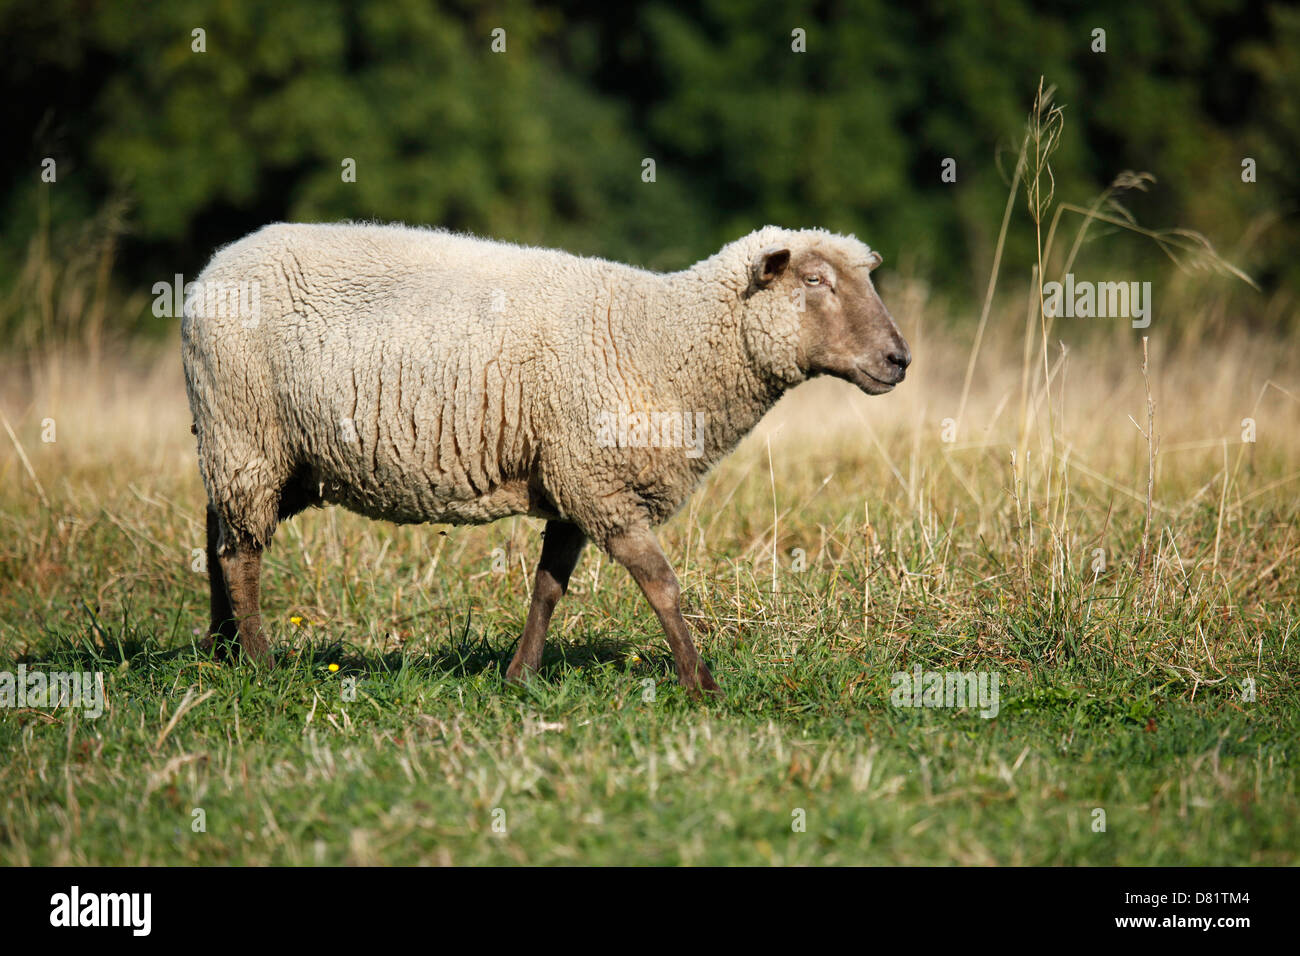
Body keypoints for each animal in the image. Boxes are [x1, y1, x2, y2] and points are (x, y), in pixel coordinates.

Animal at [182, 222, 910, 698]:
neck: (659, 338)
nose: (899, 359)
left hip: (280, 455)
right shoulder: (599, 484)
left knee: (217, 532)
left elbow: (548, 586)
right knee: (241, 551)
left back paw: (220, 646)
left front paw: (520, 676)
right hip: (245, 429)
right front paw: (700, 682)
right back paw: (259, 663)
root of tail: (210, 270)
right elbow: (662, 585)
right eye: (814, 281)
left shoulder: (576, 480)